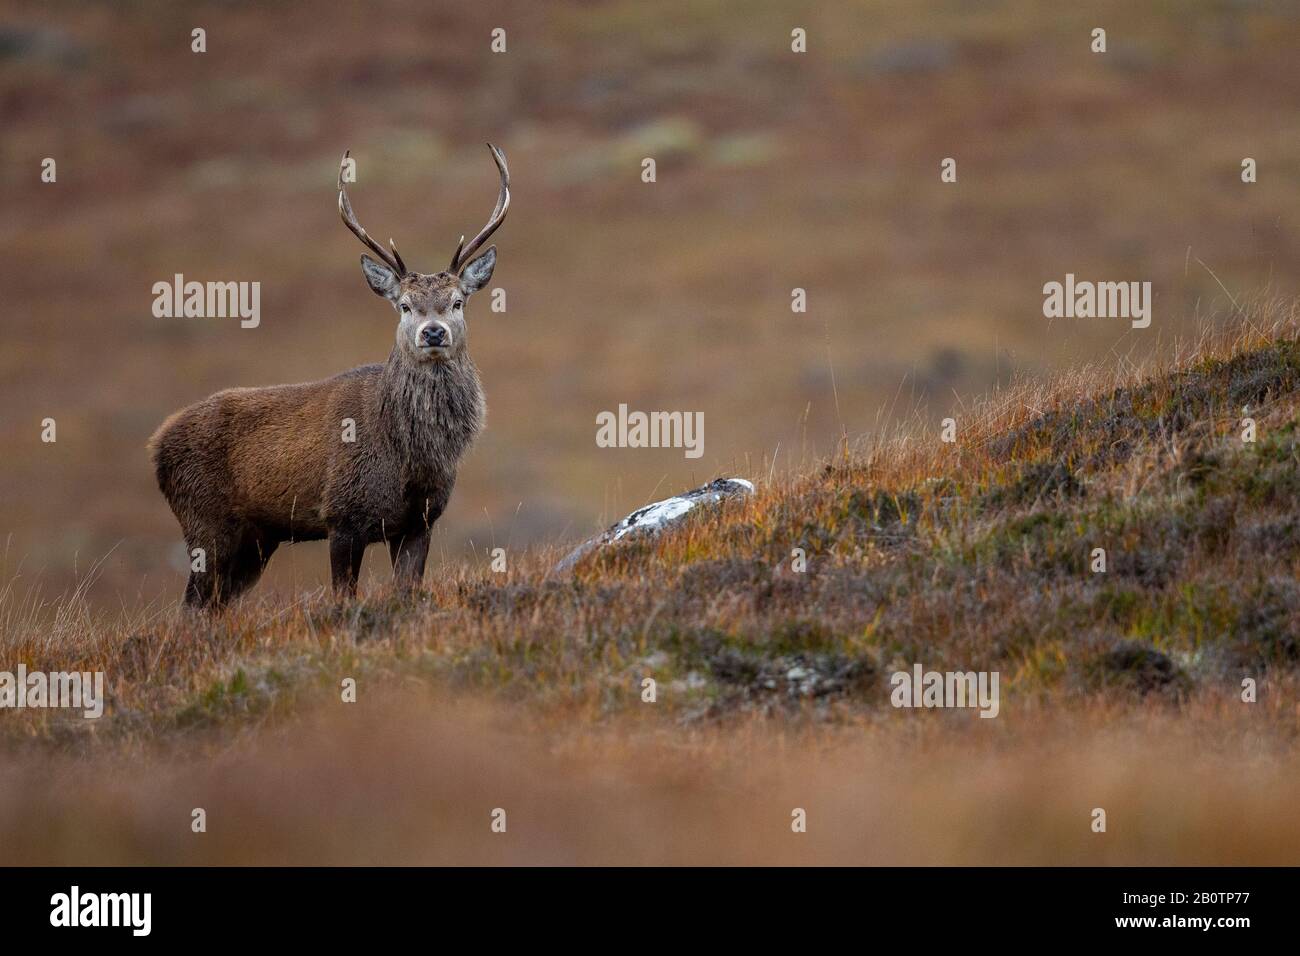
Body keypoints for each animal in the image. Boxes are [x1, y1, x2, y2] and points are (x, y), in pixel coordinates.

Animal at [149, 144, 509, 610]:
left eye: (459, 301)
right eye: (404, 305)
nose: (433, 332)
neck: (410, 455)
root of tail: (156, 446)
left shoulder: (420, 521)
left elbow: (407, 591)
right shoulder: (342, 515)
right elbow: (343, 597)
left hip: (255, 540)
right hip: (205, 523)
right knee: (191, 608)